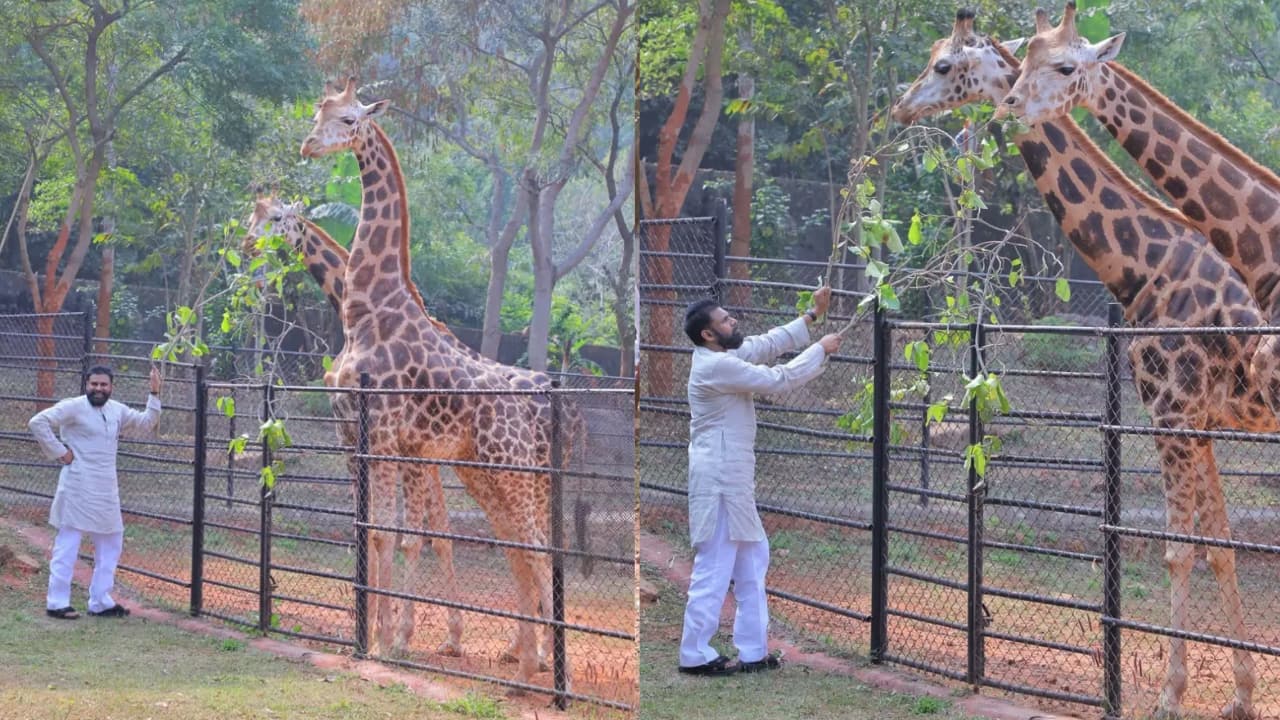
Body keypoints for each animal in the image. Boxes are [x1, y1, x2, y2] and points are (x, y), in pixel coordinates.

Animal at [299, 78, 577, 685]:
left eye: (350, 119)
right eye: (317, 113)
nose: (308, 146)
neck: (367, 309)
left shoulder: (382, 432)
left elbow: (388, 534)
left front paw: (385, 643)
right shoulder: (373, 438)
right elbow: (376, 533)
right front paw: (372, 637)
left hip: (511, 469)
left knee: (535, 549)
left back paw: (542, 667)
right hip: (489, 473)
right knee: (521, 548)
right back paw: (527, 656)